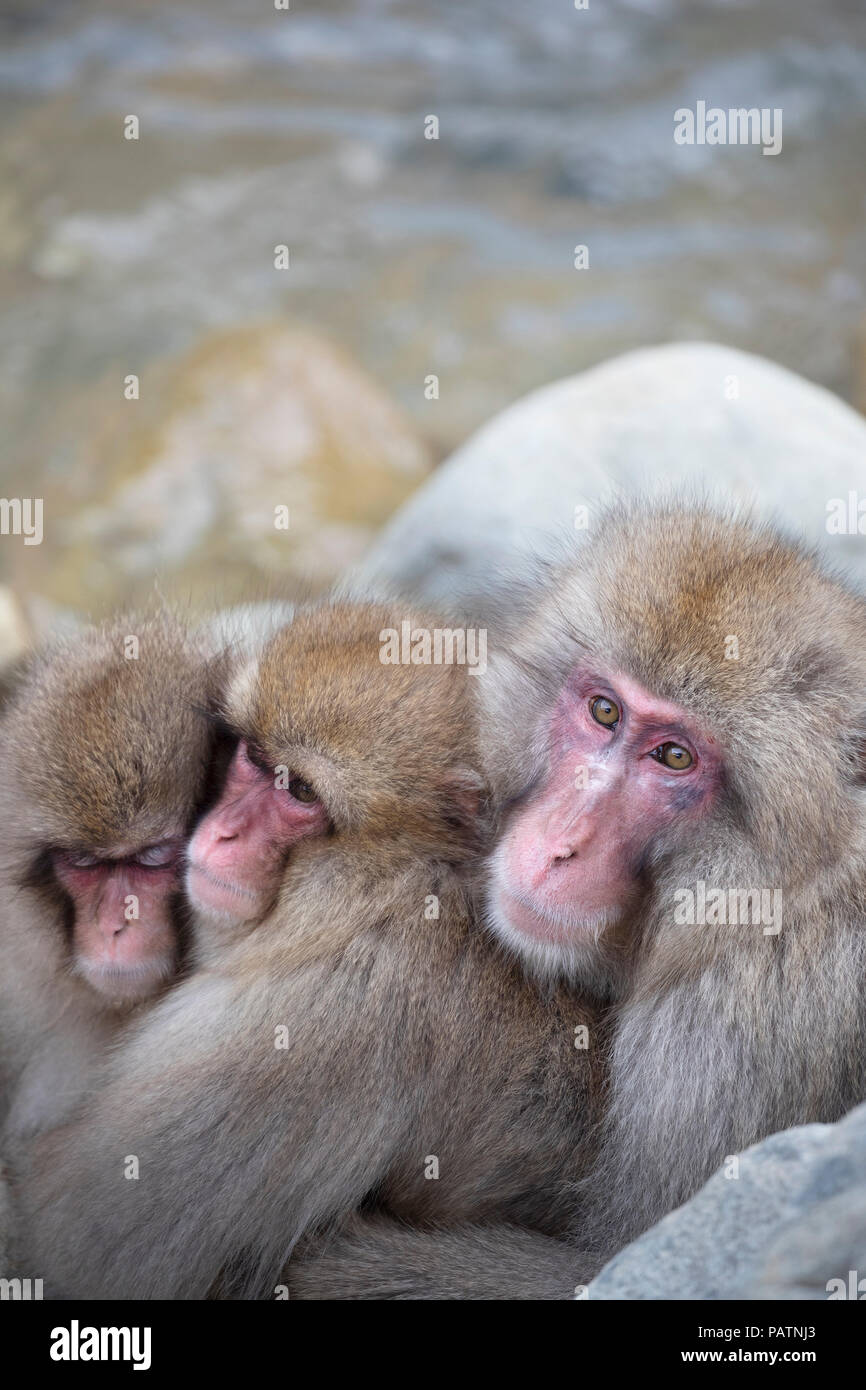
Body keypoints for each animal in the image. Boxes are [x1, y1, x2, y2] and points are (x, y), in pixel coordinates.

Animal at [18, 600, 603, 1299]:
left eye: (298, 790)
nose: (222, 832)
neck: (384, 878)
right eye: (251, 754)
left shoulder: (326, 999)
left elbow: (85, 1247)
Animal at [283, 501, 866, 1298]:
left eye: (675, 756)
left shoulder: (748, 1019)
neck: (793, 880)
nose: (562, 843)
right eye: (604, 711)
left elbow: (617, 1264)